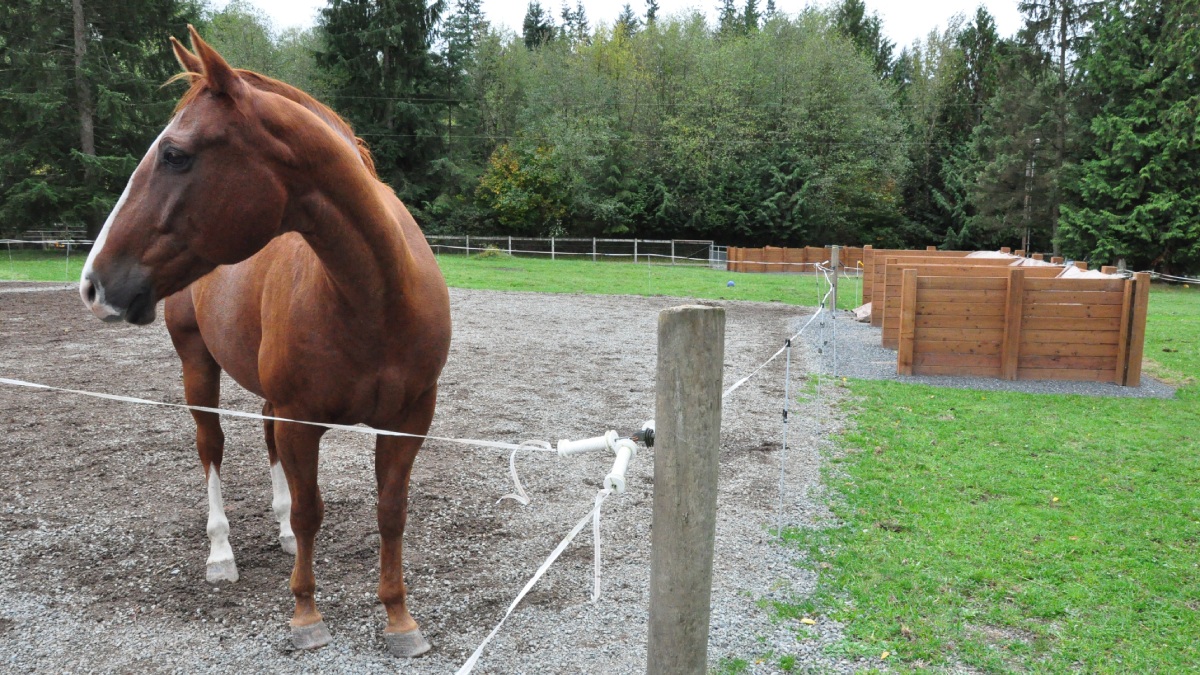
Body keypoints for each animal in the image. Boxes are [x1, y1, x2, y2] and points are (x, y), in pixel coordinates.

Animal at [78, 26, 451, 657]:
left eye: (175, 154)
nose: (93, 283)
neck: (375, 296)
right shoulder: (303, 420)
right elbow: (310, 511)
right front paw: (305, 614)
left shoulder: (409, 421)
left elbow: (390, 512)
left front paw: (400, 619)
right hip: (197, 365)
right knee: (212, 447)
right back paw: (221, 553)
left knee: (266, 438)